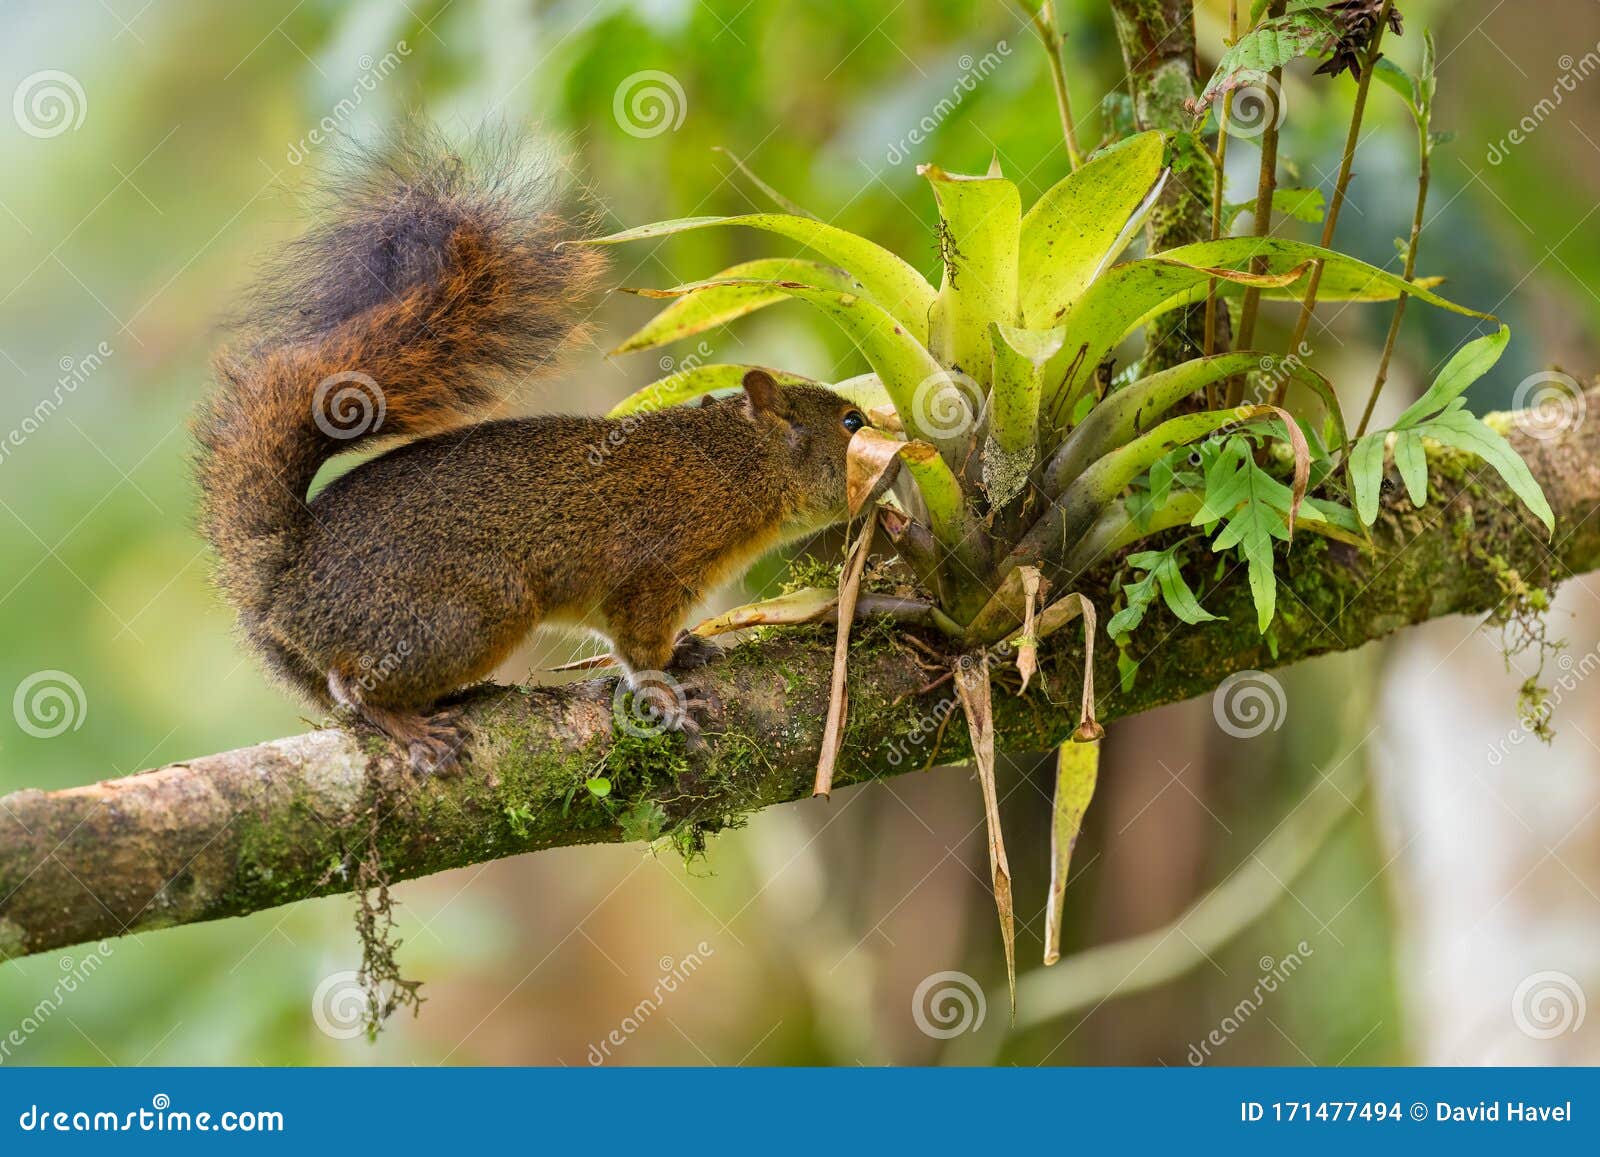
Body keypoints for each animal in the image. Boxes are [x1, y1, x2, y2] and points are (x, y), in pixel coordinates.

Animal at [194, 127, 870, 773]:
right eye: (852, 421)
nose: (895, 453)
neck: (736, 464)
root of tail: (283, 589)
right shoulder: (654, 568)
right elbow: (638, 650)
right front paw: (668, 697)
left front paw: (684, 649)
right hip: (464, 614)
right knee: (350, 688)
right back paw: (407, 725)